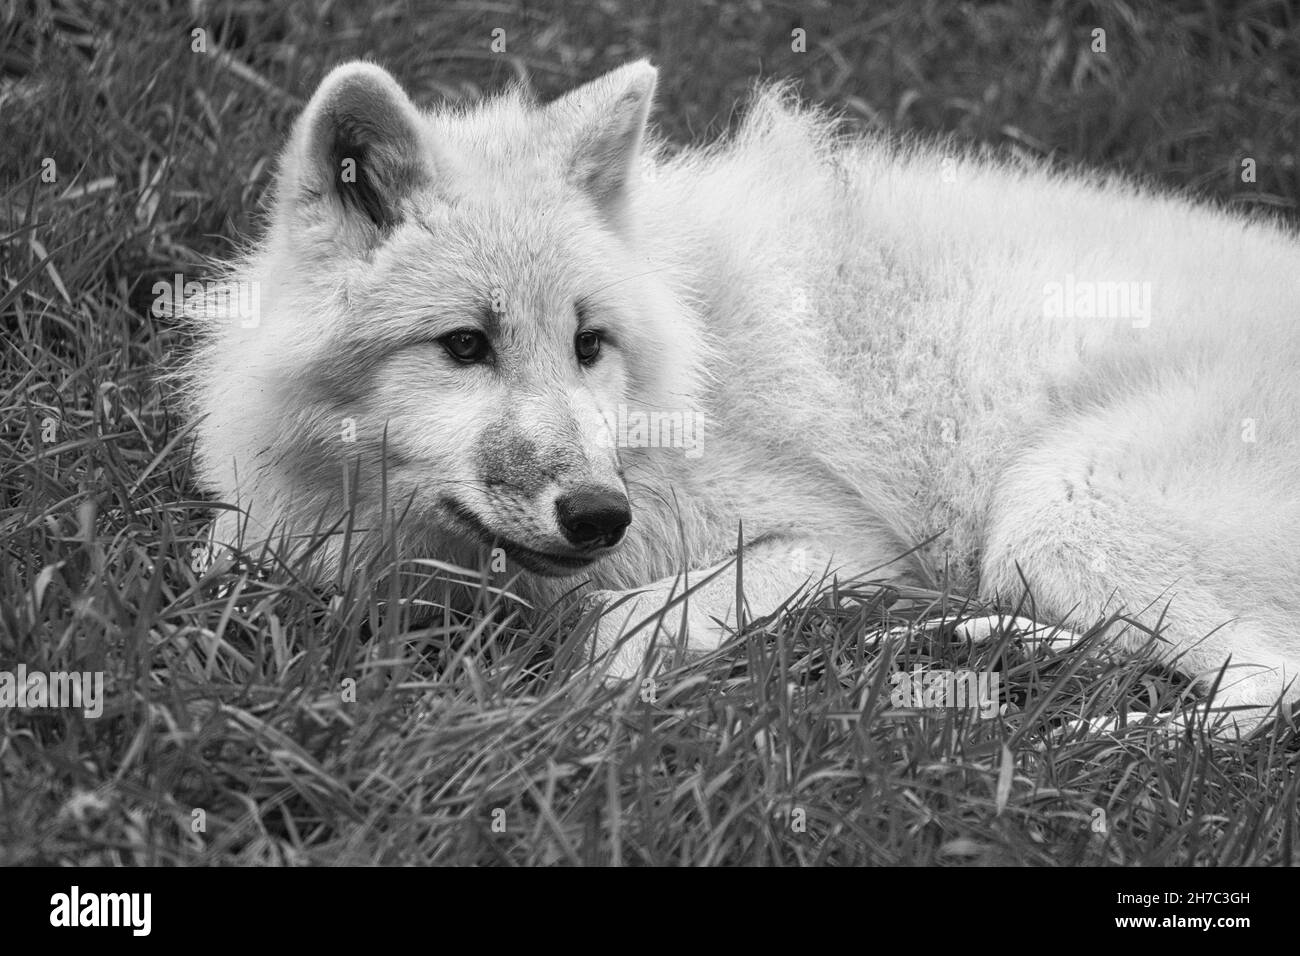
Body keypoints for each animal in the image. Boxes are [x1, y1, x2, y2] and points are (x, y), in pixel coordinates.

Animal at [182, 60, 1300, 731]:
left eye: (588, 344)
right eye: (465, 344)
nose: (599, 515)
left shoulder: (837, 541)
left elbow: (617, 625)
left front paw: (596, 690)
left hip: (1057, 510)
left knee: (1267, 690)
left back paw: (1085, 730)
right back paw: (957, 647)